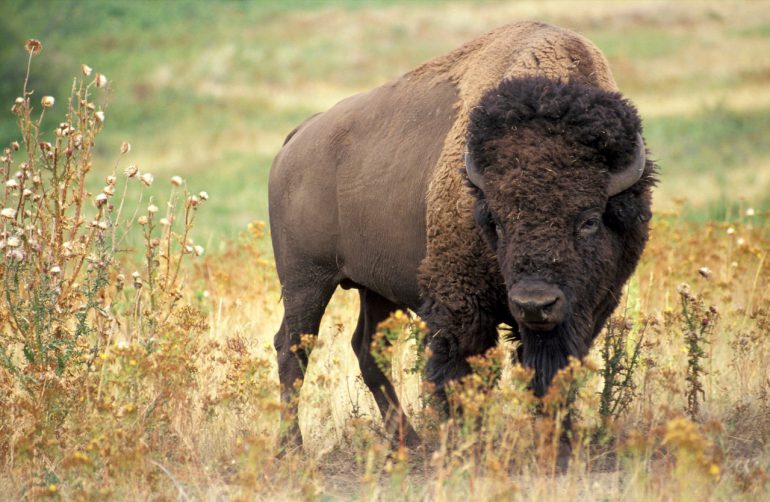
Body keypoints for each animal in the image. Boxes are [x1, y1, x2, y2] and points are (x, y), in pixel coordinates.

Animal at [269, 21, 655, 448]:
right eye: (497, 221)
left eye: (588, 220)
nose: (534, 304)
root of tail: (299, 137)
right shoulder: (461, 305)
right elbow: (460, 374)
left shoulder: (588, 308)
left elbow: (552, 372)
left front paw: (557, 440)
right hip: (306, 280)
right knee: (293, 348)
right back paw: (292, 447)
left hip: (374, 288)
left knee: (367, 349)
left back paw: (409, 441)